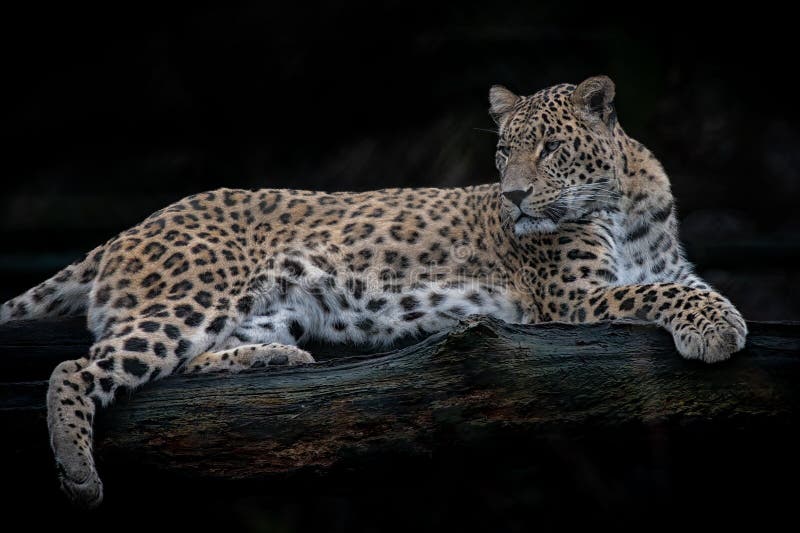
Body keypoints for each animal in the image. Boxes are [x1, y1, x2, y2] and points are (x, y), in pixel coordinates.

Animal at [0, 75, 747, 508]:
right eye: (504, 151)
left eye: (552, 149)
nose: (513, 195)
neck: (625, 200)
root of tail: (129, 228)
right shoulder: (573, 297)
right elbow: (660, 294)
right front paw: (717, 328)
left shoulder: (661, 265)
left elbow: (683, 284)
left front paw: (721, 316)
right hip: (191, 299)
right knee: (77, 366)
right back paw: (77, 472)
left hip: (254, 312)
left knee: (178, 362)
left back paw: (273, 359)